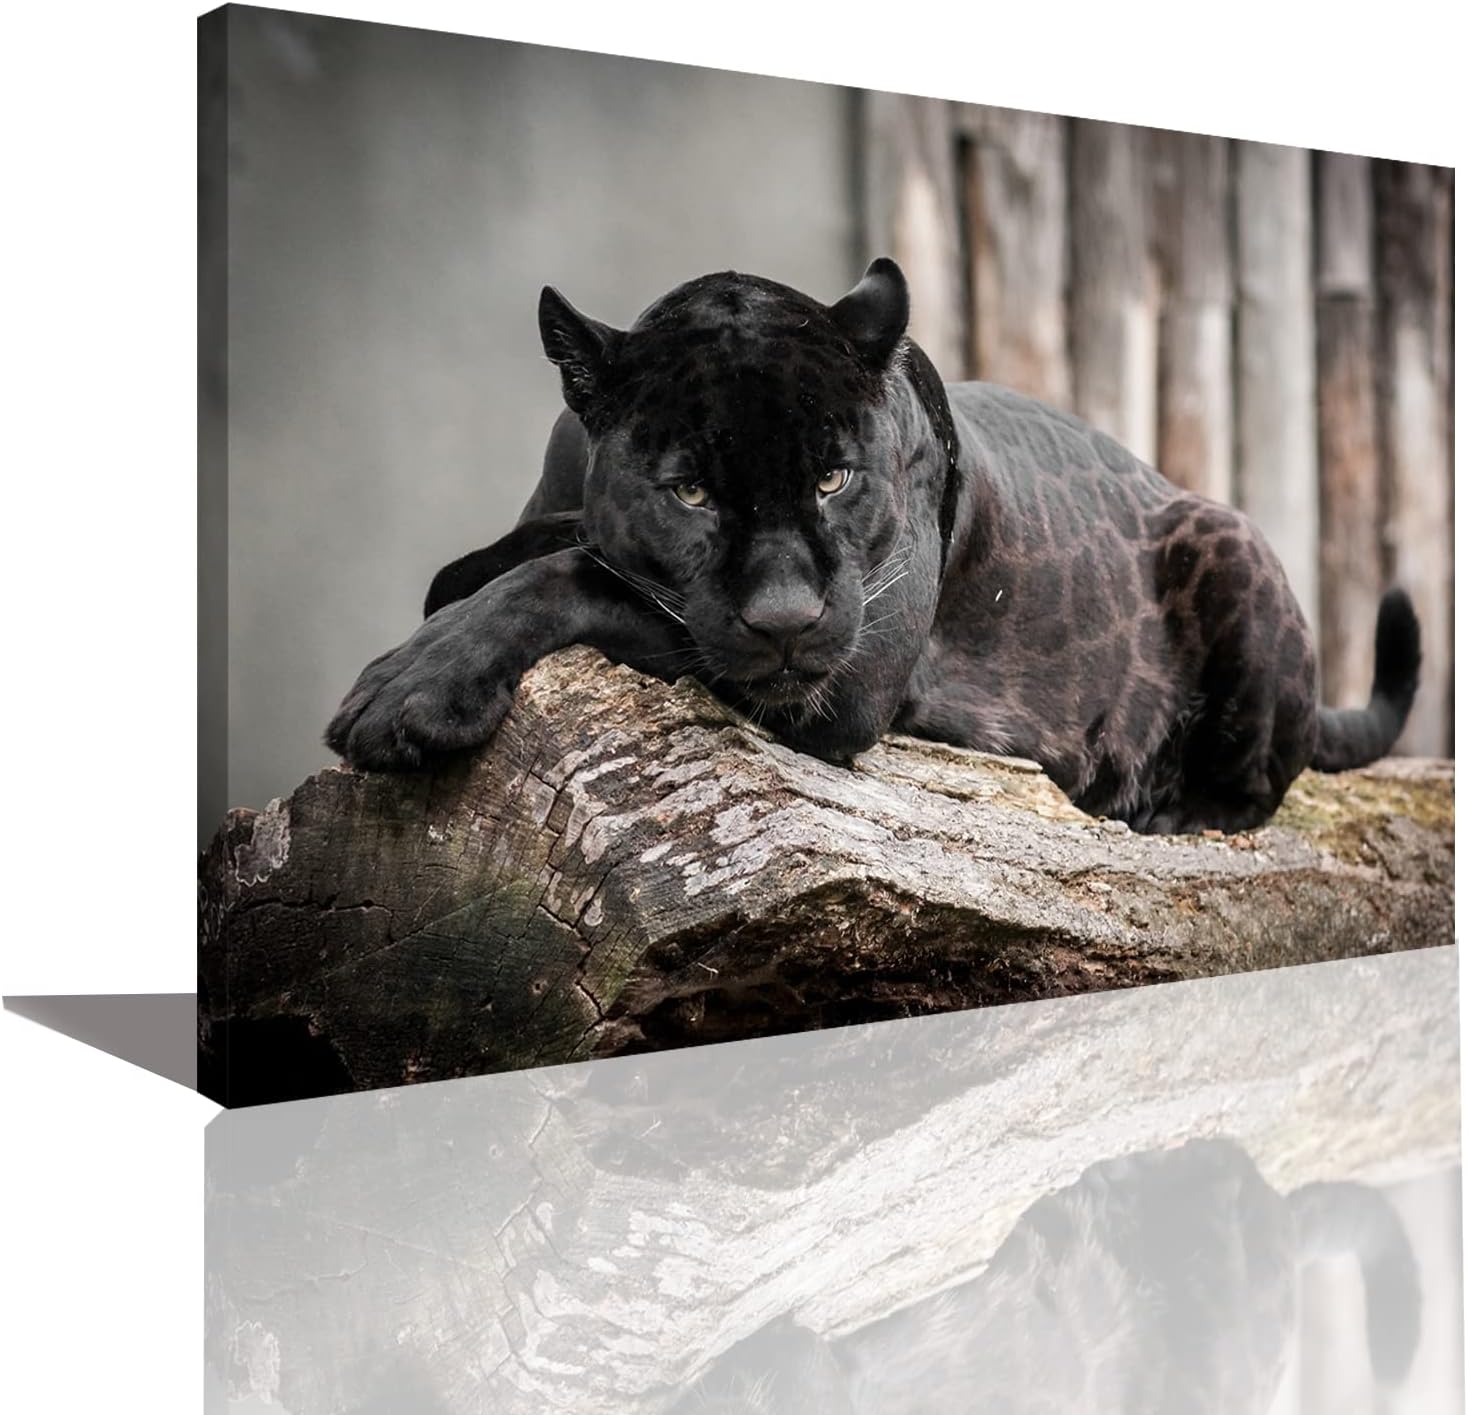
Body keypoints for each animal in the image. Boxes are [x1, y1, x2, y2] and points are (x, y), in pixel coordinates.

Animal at [324, 258, 1421, 835]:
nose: (786, 618)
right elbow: (524, 557)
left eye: (832, 477)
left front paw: (408, 693)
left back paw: (1145, 803)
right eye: (689, 490)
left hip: (1229, 537)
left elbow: (582, 575)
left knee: (1250, 791)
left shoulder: (838, 677)